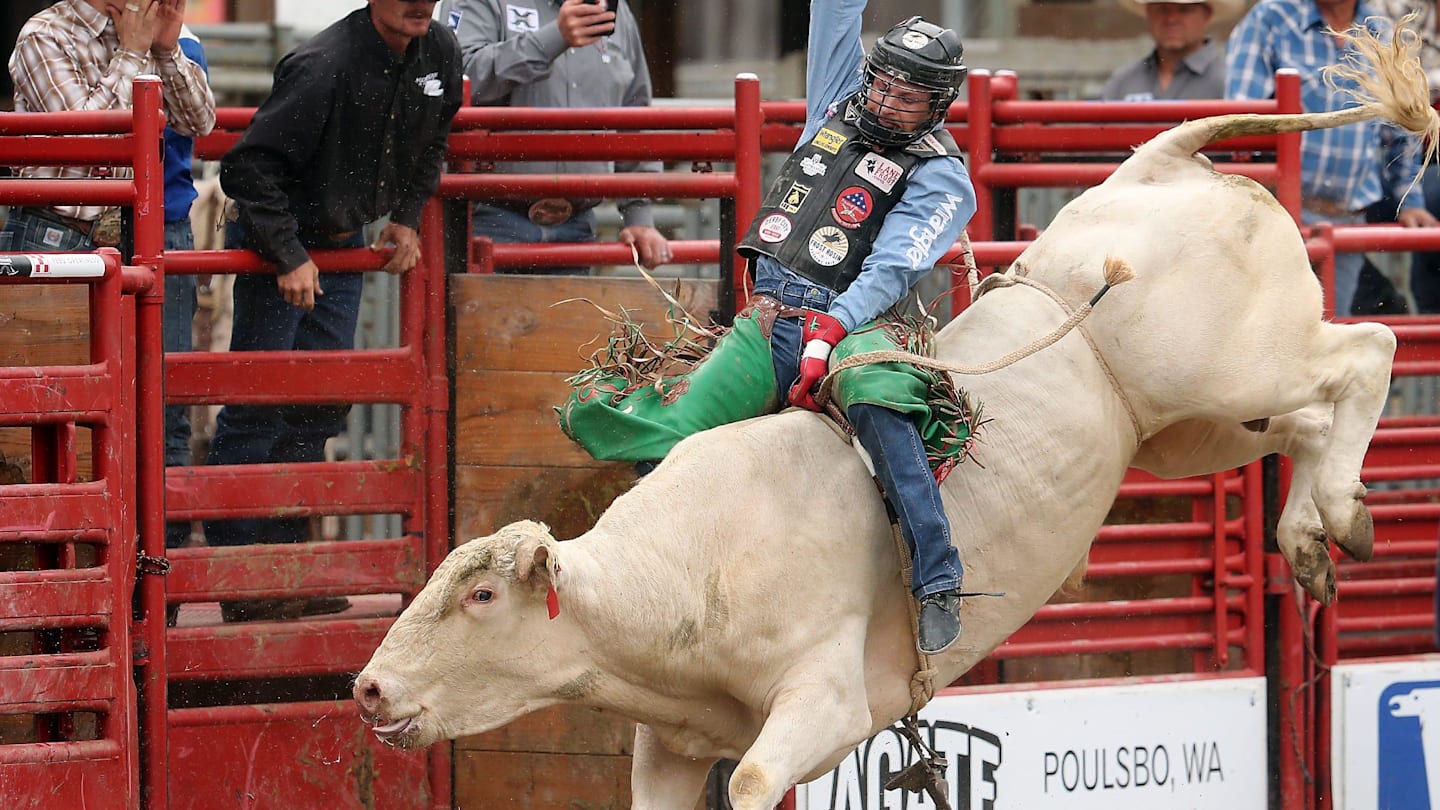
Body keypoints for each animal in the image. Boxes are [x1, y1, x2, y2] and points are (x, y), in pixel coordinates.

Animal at [354, 27, 1433, 810]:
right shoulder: (667, 745)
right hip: (1188, 430)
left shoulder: (825, 701)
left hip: (1238, 366)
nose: (366, 688)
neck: (688, 572)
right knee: (1305, 424)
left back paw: (1338, 514)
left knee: (1368, 353)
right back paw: (1313, 537)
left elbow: (756, 781)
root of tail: (1157, 165)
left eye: (479, 597)